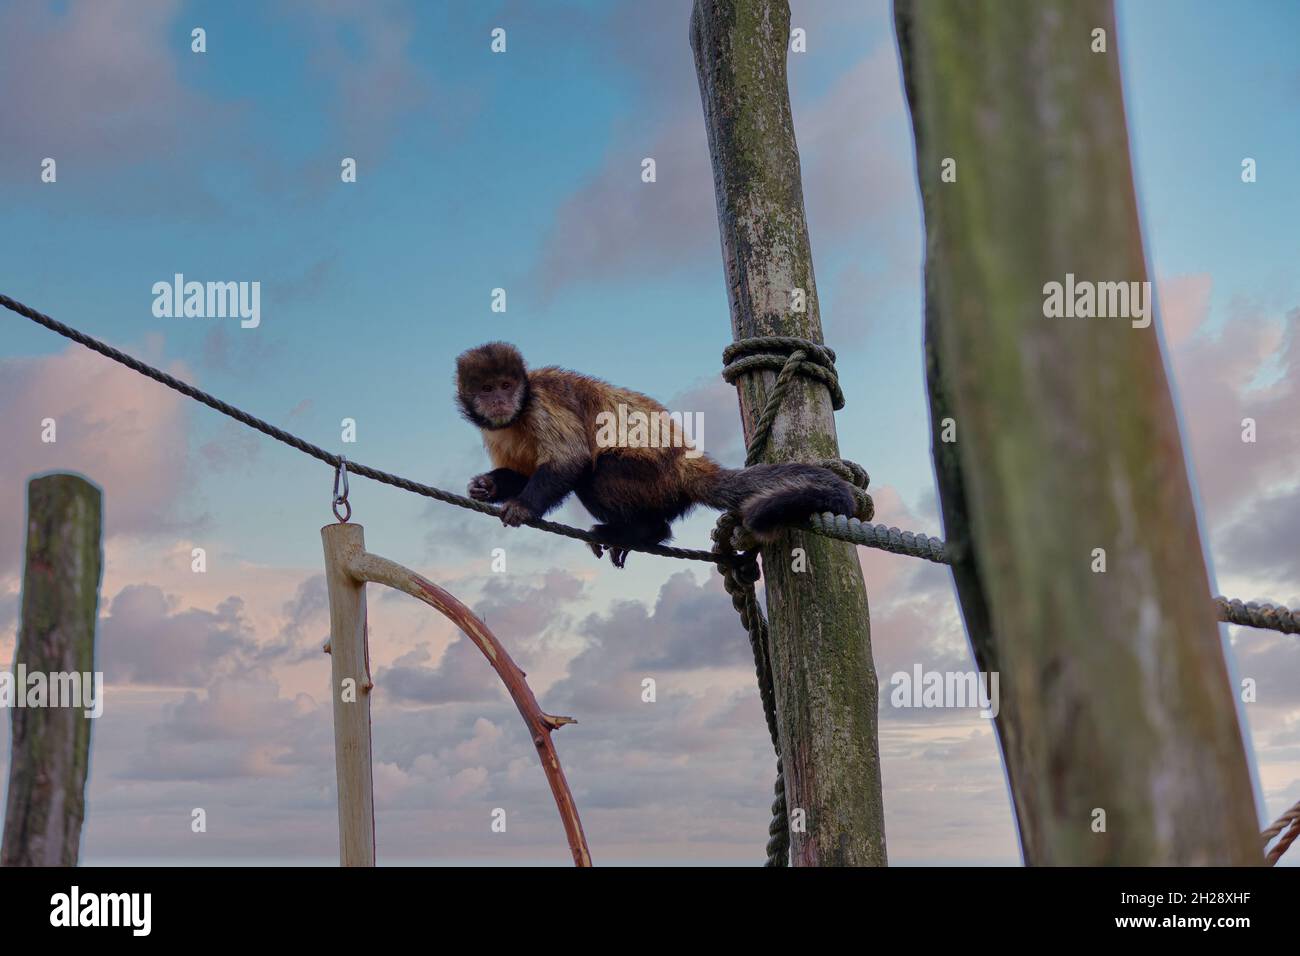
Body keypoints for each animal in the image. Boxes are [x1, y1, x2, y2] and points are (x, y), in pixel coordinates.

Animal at [454, 341, 857, 568]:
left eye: (507, 385)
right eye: (487, 388)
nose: (500, 400)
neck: (518, 412)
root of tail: (686, 463)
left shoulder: (540, 402)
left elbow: (571, 461)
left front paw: (523, 506)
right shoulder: (494, 429)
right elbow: (520, 471)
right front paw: (487, 487)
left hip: (653, 479)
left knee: (596, 472)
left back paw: (643, 530)